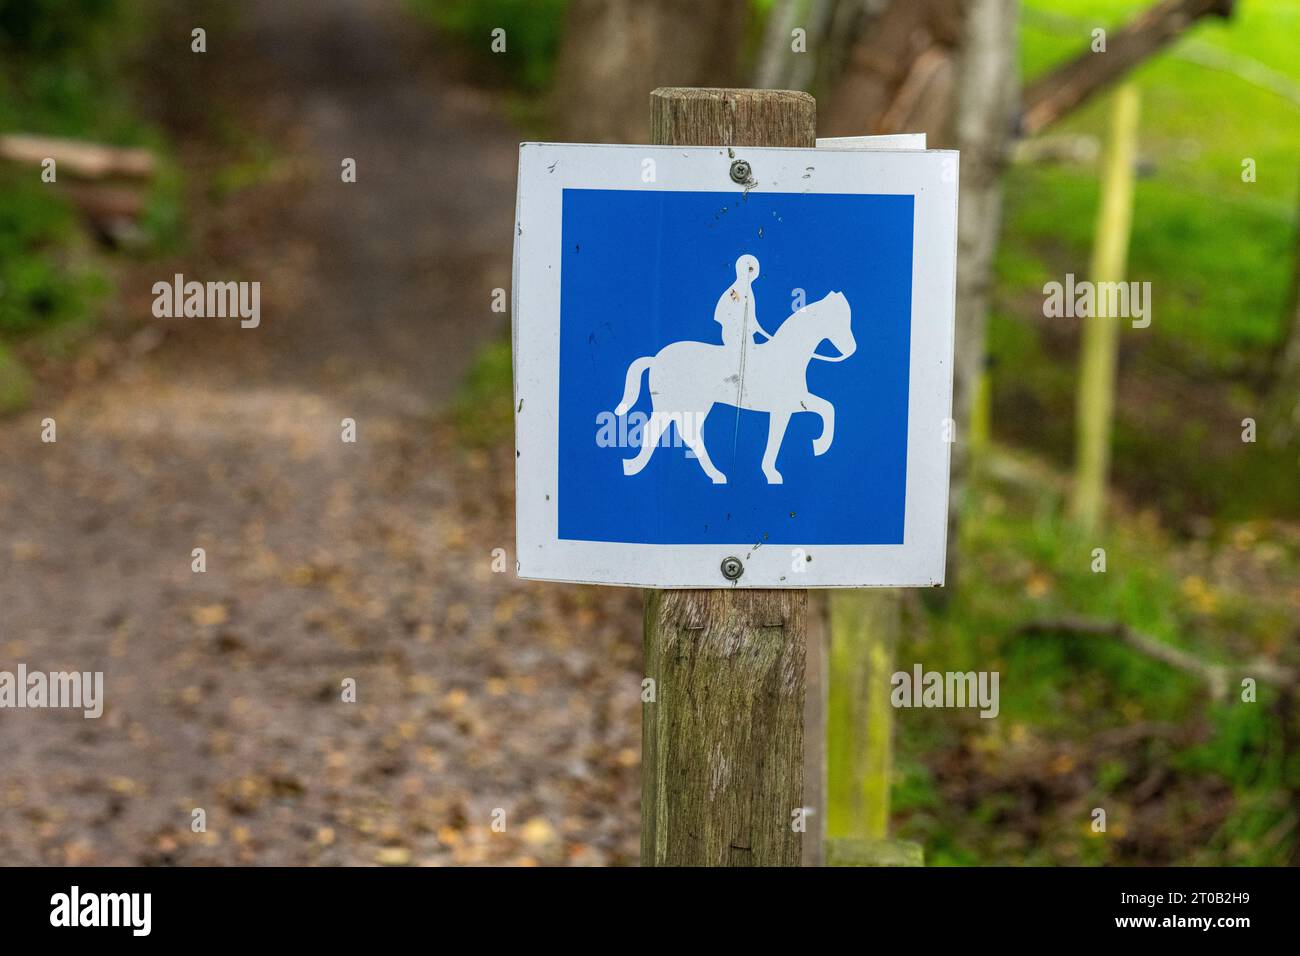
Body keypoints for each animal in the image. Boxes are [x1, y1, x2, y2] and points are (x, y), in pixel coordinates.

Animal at [613, 290, 854, 484]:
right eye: (840, 319)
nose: (852, 349)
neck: (785, 356)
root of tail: (655, 359)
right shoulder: (782, 408)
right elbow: (777, 438)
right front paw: (774, 472)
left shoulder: (797, 401)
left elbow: (827, 408)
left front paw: (818, 445)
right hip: (674, 404)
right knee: (659, 430)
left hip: (690, 405)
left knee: (682, 432)